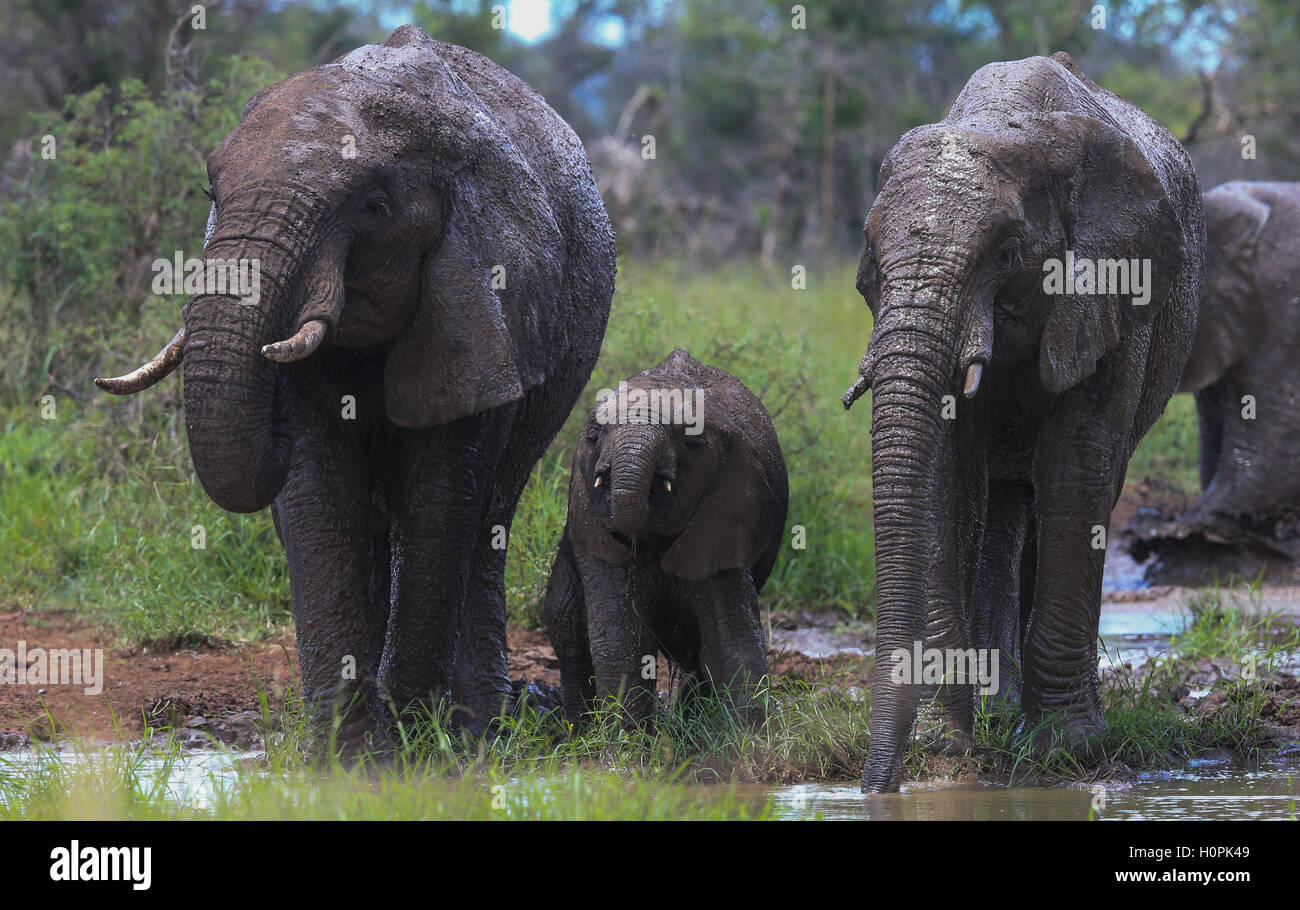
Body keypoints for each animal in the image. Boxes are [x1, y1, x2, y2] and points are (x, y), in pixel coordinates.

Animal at [94, 25, 616, 747]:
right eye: (210, 193)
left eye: (373, 206)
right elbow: (322, 491)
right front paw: (344, 751)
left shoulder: (486, 298)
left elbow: (438, 499)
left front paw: (411, 745)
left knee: (491, 511)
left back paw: (479, 724)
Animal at [542, 349, 788, 723]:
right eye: (594, 435)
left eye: (691, 439)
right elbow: (620, 638)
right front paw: (628, 737)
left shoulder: (727, 513)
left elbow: (729, 638)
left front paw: (751, 735)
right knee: (566, 623)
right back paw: (578, 729)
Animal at [841, 52, 1204, 792]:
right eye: (870, 261)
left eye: (1007, 255)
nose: (874, 788)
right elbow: (948, 479)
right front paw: (950, 746)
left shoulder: (1118, 291)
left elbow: (1076, 467)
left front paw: (1064, 750)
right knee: (1003, 504)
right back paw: (1000, 704)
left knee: (1074, 490)